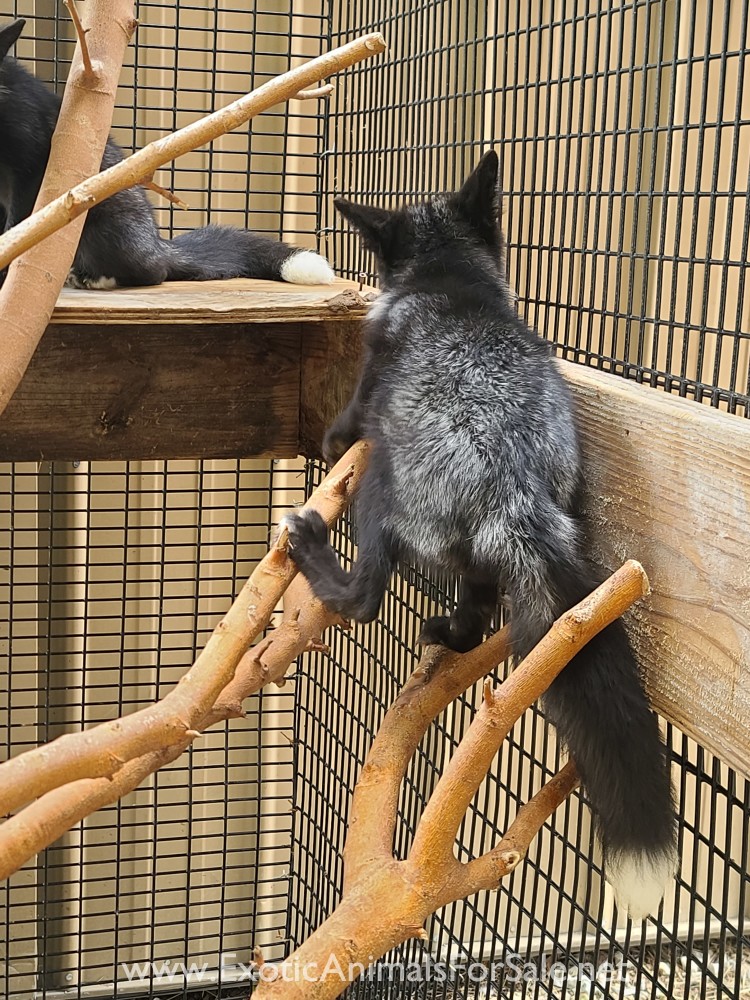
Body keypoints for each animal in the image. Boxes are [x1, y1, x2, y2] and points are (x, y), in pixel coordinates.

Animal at [283, 150, 677, 920]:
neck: (451, 279)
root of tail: (515, 497)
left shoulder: (373, 368)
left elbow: (348, 416)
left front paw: (331, 440)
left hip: (378, 490)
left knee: (366, 595)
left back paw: (316, 555)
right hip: (498, 550)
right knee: (476, 615)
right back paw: (449, 636)